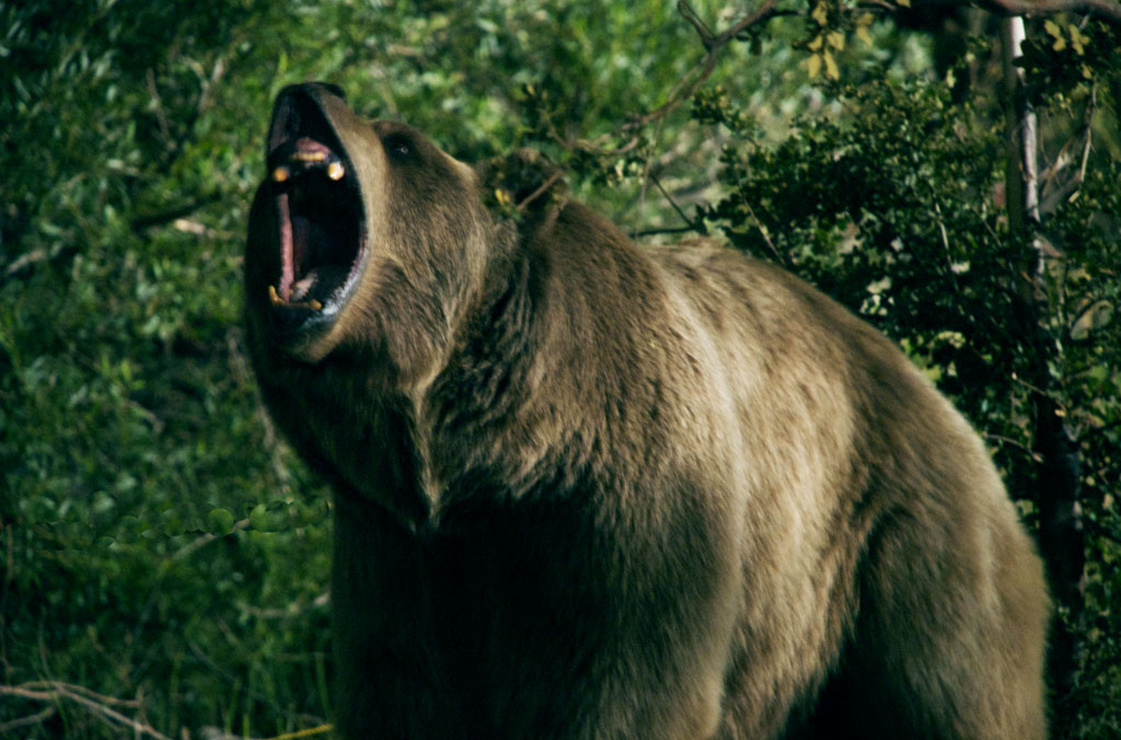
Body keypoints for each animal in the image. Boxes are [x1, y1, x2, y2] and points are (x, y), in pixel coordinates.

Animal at [244, 82, 1049, 740]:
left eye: (402, 141)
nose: (310, 89)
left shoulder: (628, 507)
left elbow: (626, 689)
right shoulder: (396, 549)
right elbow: (404, 693)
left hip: (897, 551)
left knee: (949, 691)